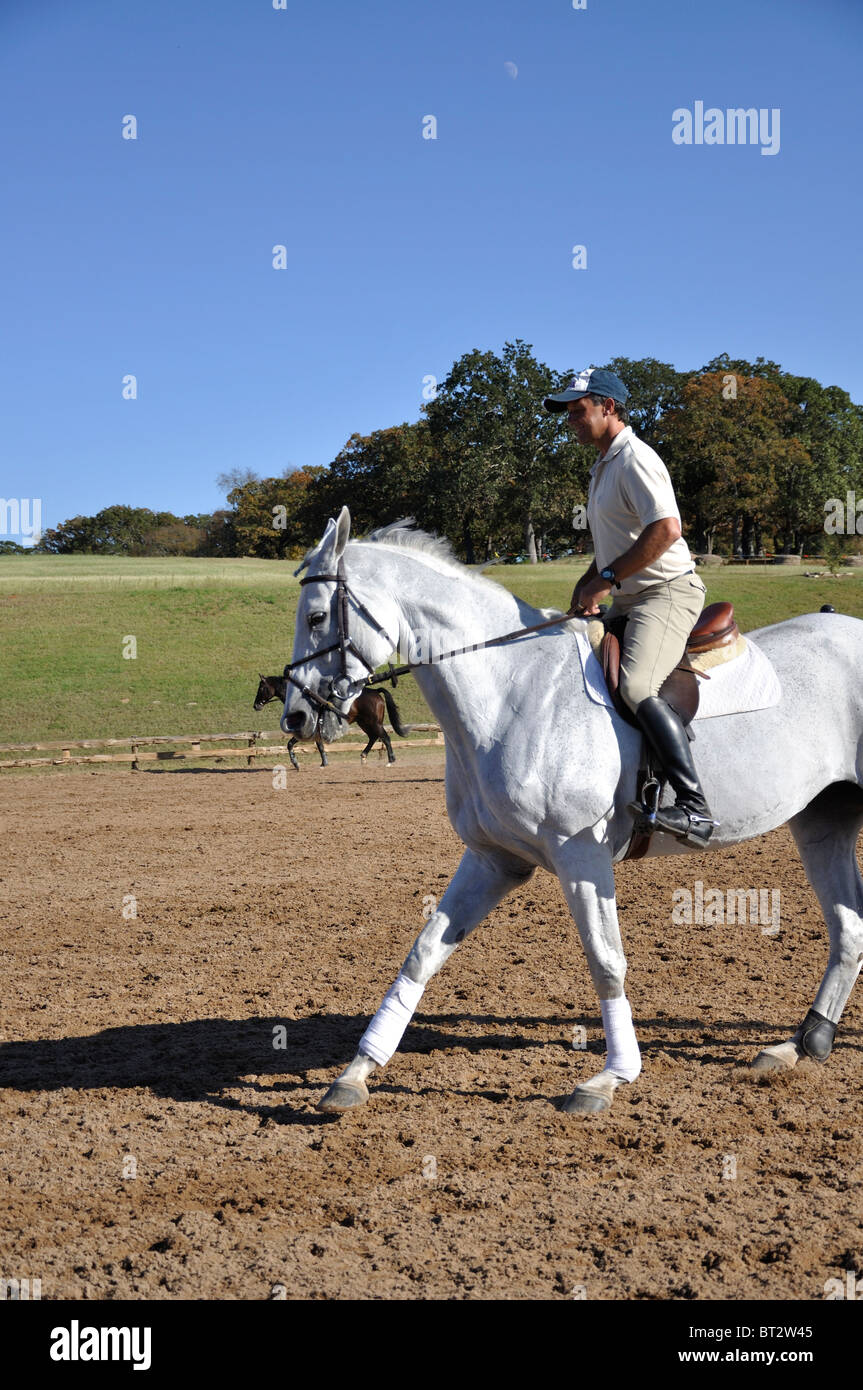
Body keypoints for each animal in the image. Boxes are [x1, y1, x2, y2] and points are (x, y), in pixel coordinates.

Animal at [254, 674, 410, 768]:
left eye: (261, 687)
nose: (256, 705)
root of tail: (375, 692)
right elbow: (320, 746)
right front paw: (324, 763)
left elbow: (290, 744)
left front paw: (296, 764)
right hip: (364, 723)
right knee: (374, 737)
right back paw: (363, 756)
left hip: (373, 723)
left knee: (385, 737)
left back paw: (390, 760)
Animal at [282, 508, 863, 1116]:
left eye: (318, 616)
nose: (295, 717)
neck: (510, 689)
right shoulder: (494, 860)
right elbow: (421, 955)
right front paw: (356, 1072)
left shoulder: (580, 855)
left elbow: (606, 962)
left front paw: (611, 1076)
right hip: (822, 819)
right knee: (849, 928)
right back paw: (802, 1044)